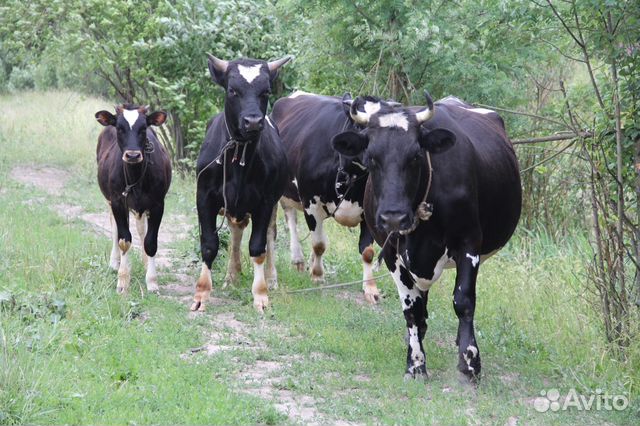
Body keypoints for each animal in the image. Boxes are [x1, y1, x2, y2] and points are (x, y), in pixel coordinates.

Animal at [95, 105, 171, 294]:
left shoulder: (158, 205)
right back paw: (114, 263)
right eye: (119, 128)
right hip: (111, 202)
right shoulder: (117, 202)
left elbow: (150, 242)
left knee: (141, 230)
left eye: (143, 128)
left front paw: (152, 281)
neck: (136, 177)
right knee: (115, 229)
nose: (132, 155)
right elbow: (124, 240)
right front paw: (123, 280)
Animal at [191, 54, 291, 313]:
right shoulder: (204, 196)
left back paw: (271, 278)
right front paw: (202, 293)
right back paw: (231, 276)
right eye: (232, 90)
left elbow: (258, 247)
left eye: (265, 91)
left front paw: (261, 294)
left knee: (270, 235)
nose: (253, 122)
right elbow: (209, 244)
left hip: (273, 204)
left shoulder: (265, 202)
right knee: (236, 233)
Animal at [271, 91, 380, 303]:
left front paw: (370, 288)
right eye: (359, 126)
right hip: (286, 193)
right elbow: (319, 244)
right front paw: (317, 275)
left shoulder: (369, 211)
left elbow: (368, 252)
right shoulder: (310, 203)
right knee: (291, 220)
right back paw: (298, 260)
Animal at [331, 93, 522, 380]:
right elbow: (412, 310)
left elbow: (463, 301)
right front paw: (415, 362)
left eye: (415, 156)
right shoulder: (392, 253)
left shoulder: (469, 243)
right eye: (371, 156)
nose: (393, 217)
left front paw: (470, 362)